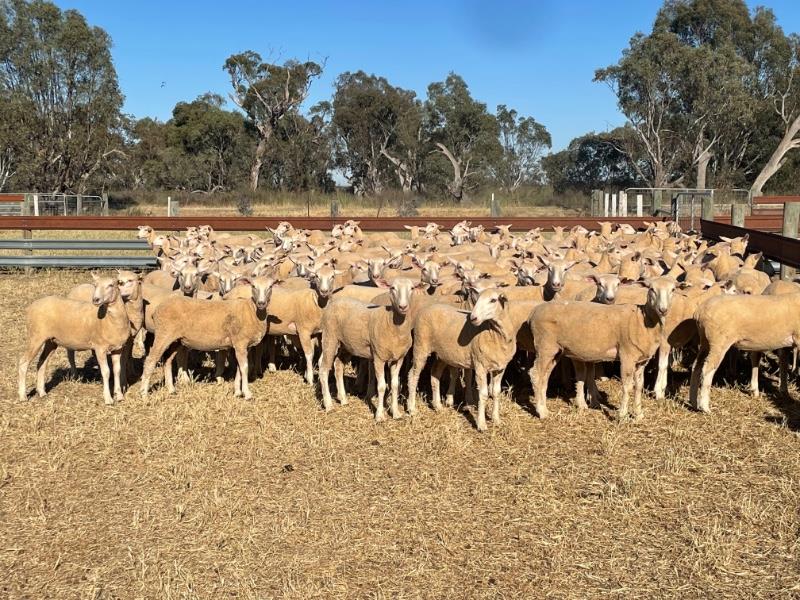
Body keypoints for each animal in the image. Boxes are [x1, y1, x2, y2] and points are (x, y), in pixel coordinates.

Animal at [19, 274, 131, 405]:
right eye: (95, 285)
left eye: (111, 285)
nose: (96, 300)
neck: (110, 320)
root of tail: (31, 306)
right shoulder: (100, 348)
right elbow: (106, 372)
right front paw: (108, 399)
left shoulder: (117, 348)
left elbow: (117, 370)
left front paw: (119, 396)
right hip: (35, 336)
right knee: (23, 362)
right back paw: (22, 396)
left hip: (51, 341)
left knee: (42, 362)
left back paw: (42, 392)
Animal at [140, 276, 277, 400]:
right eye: (253, 286)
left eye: (270, 286)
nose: (261, 303)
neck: (252, 311)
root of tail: (157, 309)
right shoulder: (240, 343)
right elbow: (244, 368)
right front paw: (247, 394)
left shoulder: (242, 346)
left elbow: (239, 368)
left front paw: (238, 392)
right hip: (163, 334)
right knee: (150, 360)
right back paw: (144, 393)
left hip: (175, 340)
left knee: (167, 360)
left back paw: (171, 390)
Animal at [406, 287, 519, 431]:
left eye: (493, 300)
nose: (473, 318)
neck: (495, 335)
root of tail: (426, 309)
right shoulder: (480, 366)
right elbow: (483, 394)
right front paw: (481, 424)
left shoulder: (501, 368)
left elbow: (496, 392)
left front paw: (496, 419)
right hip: (421, 347)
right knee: (413, 375)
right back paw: (412, 409)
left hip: (442, 353)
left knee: (435, 374)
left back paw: (438, 406)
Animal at [529, 277, 678, 421]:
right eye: (651, 289)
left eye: (673, 289)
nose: (663, 309)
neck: (643, 320)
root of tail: (534, 312)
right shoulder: (627, 355)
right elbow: (627, 386)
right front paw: (622, 415)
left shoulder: (641, 360)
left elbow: (639, 386)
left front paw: (639, 414)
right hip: (545, 345)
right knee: (536, 374)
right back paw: (542, 412)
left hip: (556, 350)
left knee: (544, 377)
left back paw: (544, 408)